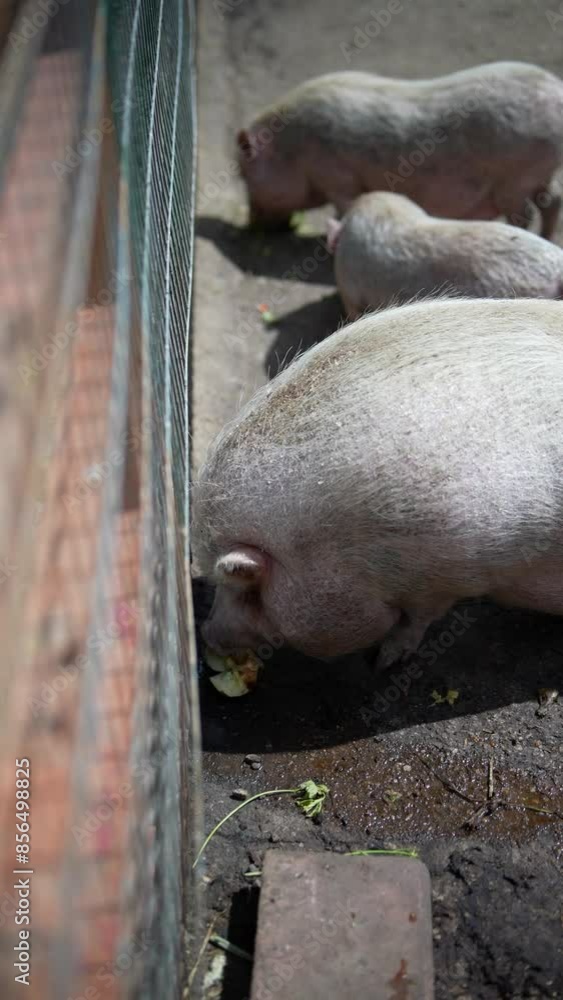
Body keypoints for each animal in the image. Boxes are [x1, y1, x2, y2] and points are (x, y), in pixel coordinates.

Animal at [237, 62, 563, 238]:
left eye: (244, 175)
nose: (249, 226)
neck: (293, 149)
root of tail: (556, 91)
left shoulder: (337, 177)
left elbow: (345, 205)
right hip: (540, 172)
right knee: (554, 200)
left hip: (517, 177)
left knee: (526, 212)